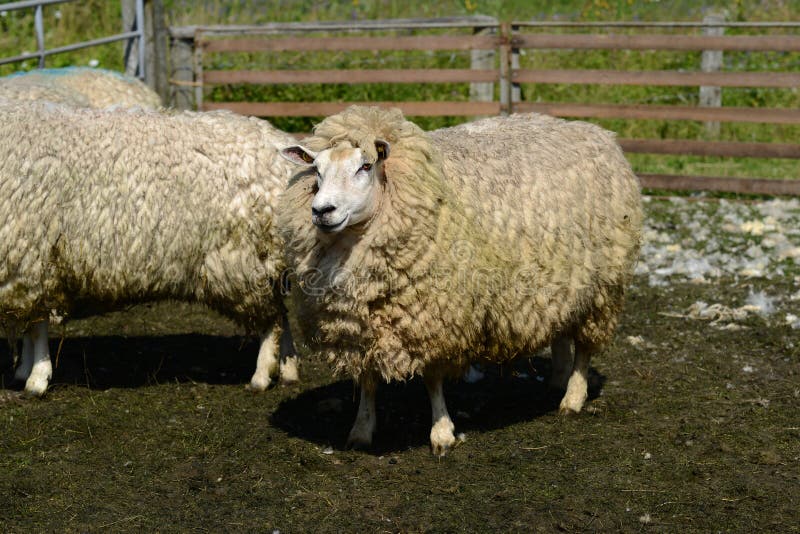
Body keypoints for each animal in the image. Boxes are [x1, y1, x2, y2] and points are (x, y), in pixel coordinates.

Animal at [0, 98, 298, 396]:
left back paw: (262, 375)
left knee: (272, 319)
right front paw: (24, 370)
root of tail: (281, 144)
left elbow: (36, 327)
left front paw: (36, 379)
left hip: (244, 261)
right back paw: (288, 369)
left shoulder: (31, 257)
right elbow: (29, 325)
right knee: (282, 315)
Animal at [278, 106, 643, 455]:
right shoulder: (359, 328)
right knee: (563, 330)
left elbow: (432, 381)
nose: (322, 210)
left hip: (604, 287)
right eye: (317, 170)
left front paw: (442, 433)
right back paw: (557, 379)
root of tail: (596, 131)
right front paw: (361, 430)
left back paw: (572, 397)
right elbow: (367, 381)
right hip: (566, 282)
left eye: (365, 166)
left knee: (585, 348)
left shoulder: (435, 319)